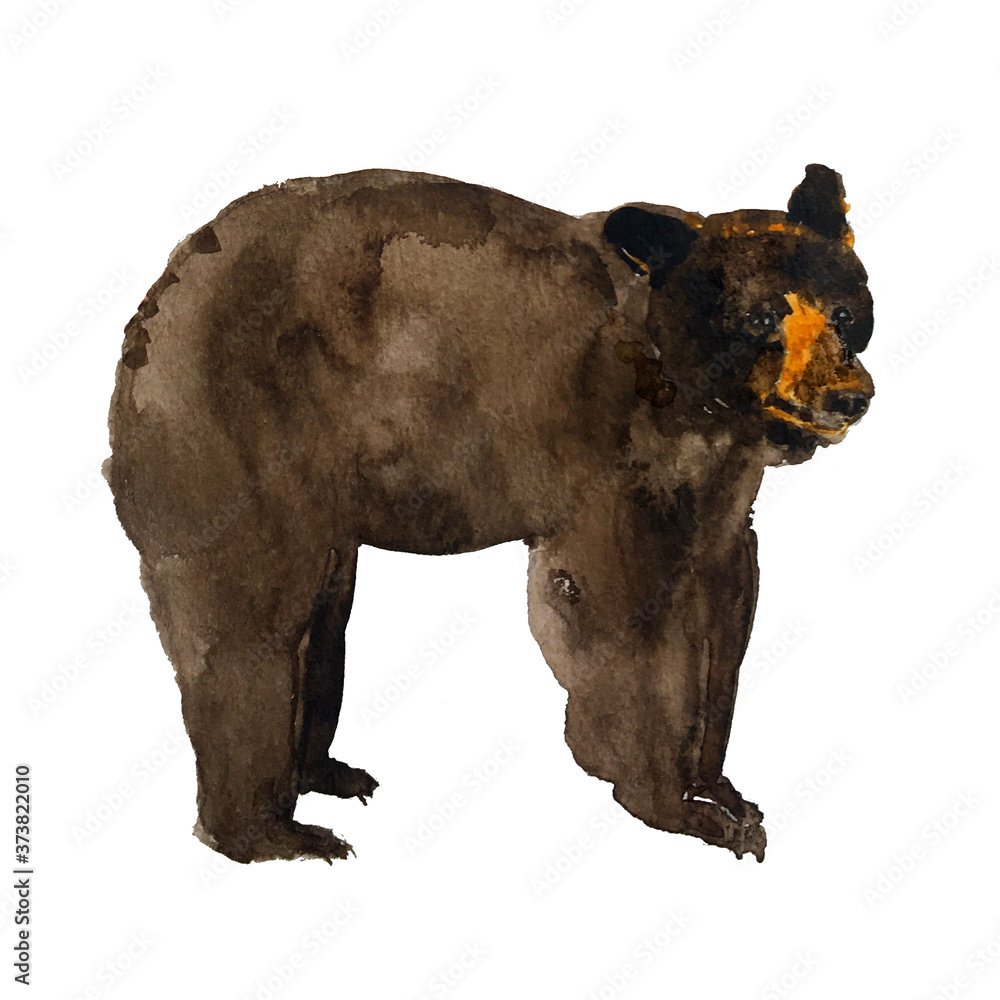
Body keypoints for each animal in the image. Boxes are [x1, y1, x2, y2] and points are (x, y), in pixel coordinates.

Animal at [106, 163, 874, 864]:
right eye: (762, 318)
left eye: (844, 311)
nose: (847, 395)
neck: (697, 402)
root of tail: (166, 288)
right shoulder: (609, 454)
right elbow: (614, 604)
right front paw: (669, 803)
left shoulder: (720, 486)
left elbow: (724, 600)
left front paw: (721, 790)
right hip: (238, 424)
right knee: (249, 609)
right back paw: (273, 835)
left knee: (324, 606)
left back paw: (325, 774)